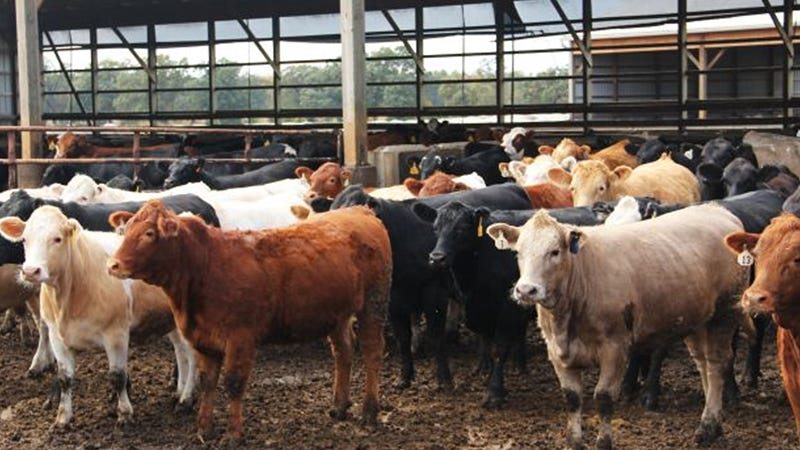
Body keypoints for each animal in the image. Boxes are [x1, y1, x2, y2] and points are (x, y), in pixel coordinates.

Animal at [0, 206, 195, 429]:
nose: (31, 271)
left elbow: (118, 376)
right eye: (24, 239)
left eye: (57, 239)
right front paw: (62, 418)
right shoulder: (57, 337)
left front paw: (125, 414)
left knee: (192, 357)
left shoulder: (116, 334)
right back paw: (179, 392)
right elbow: (64, 378)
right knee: (181, 352)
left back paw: (186, 399)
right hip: (170, 320)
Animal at [106, 201, 392, 441]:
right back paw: (339, 407)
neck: (206, 266)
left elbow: (233, 383)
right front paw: (204, 429)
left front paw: (233, 434)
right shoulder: (204, 339)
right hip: (337, 313)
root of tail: (360, 211)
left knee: (372, 352)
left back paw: (369, 411)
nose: (113, 265)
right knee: (343, 351)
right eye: (125, 230)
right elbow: (207, 381)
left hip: (373, 304)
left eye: (149, 234)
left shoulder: (240, 338)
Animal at [487, 205, 747, 448]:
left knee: (716, 364)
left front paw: (604, 442)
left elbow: (603, 398)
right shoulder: (556, 351)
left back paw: (707, 426)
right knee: (703, 364)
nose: (526, 290)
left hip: (723, 315)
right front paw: (575, 441)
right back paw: (715, 423)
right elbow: (572, 398)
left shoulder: (614, 347)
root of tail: (718, 210)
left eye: (555, 251)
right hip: (696, 321)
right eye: (518, 252)